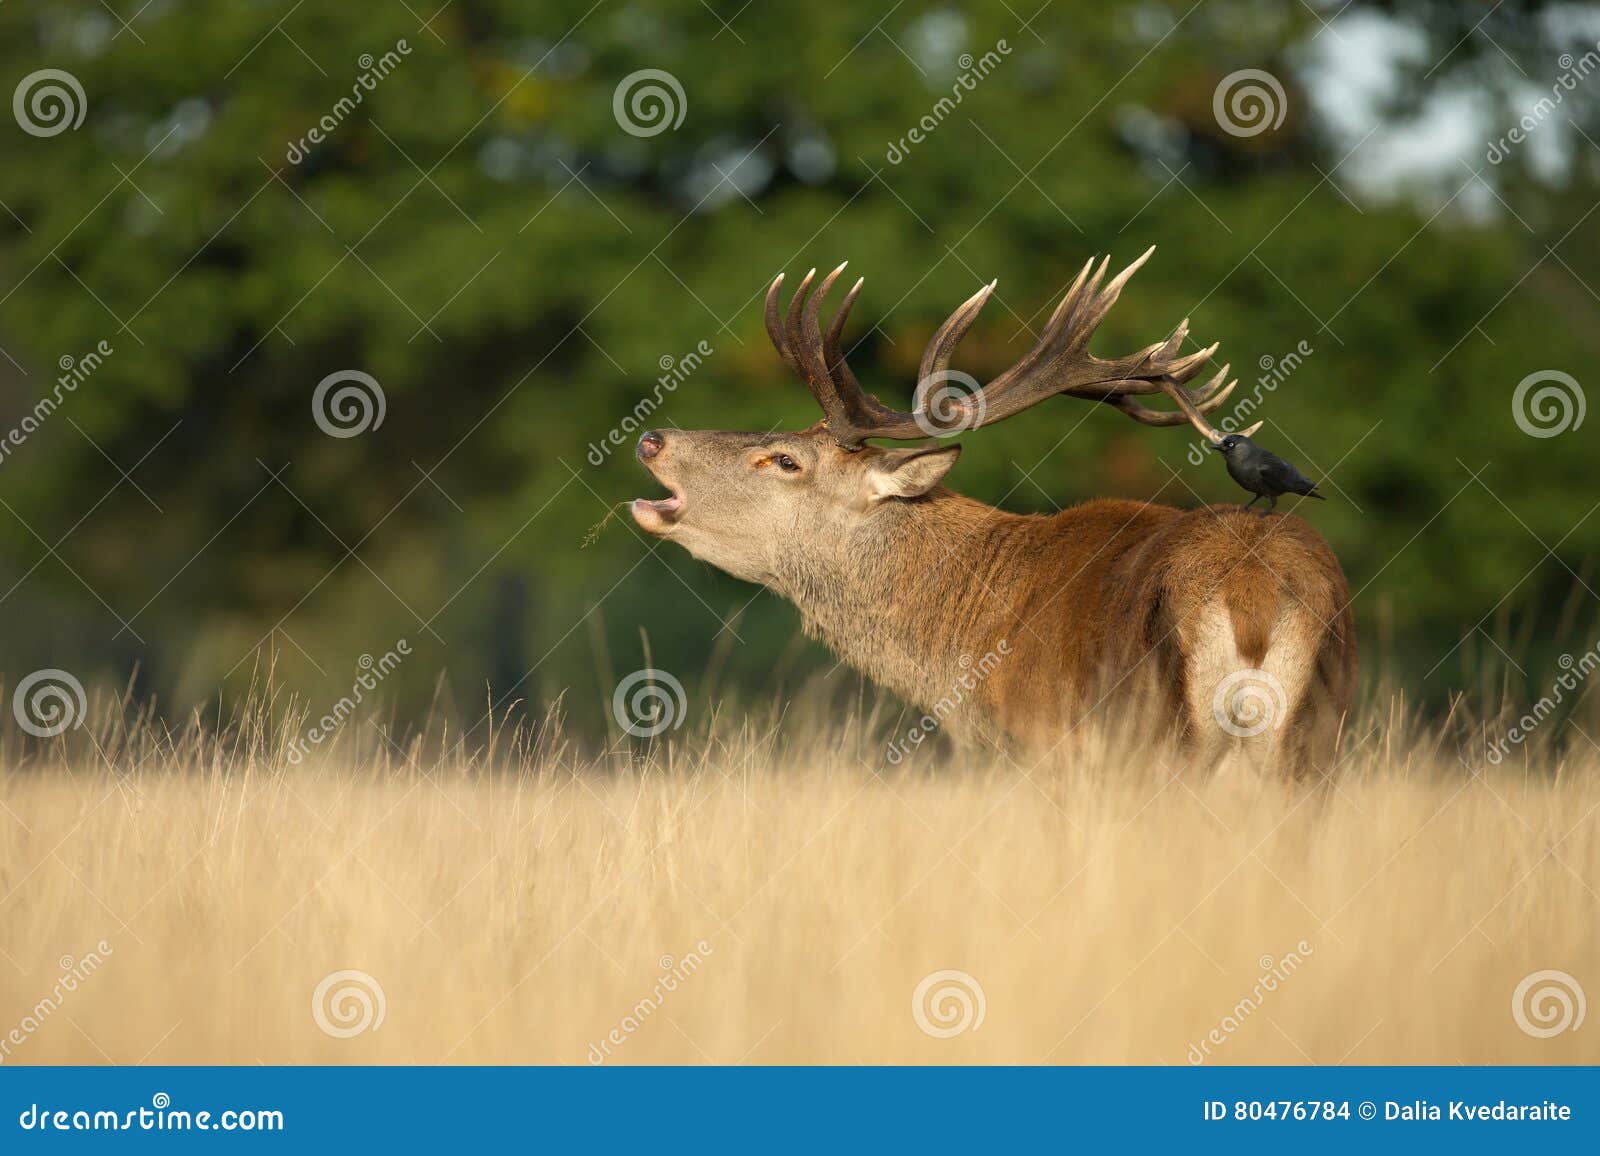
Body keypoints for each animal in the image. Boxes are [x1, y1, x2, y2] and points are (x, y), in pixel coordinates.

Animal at [630, 249, 1357, 776]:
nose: (653, 438)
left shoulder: (1042, 748)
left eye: (785, 461)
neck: (967, 642)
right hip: (1317, 743)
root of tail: (1255, 596)